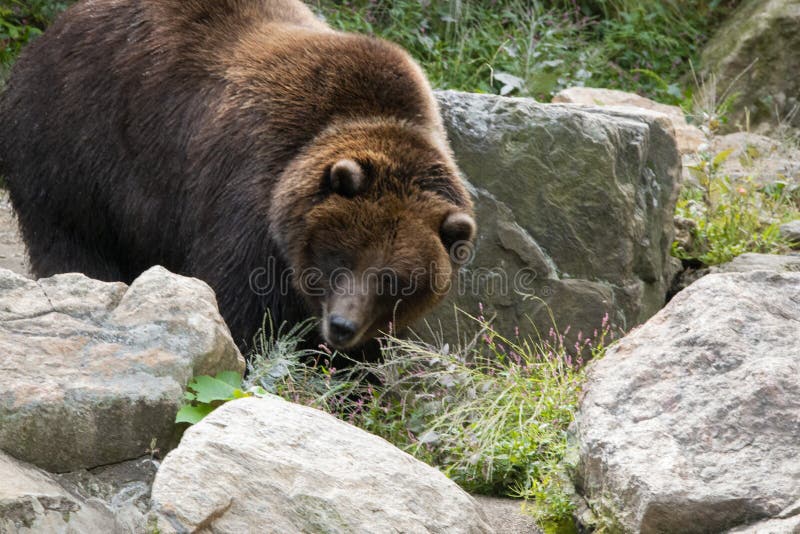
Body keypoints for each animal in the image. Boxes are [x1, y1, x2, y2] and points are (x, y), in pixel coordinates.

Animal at [0, 0, 476, 354]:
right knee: (73, 238)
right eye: (342, 257)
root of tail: (53, 29)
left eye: (395, 280)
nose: (342, 326)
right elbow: (238, 304)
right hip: (74, 140)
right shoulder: (248, 192)